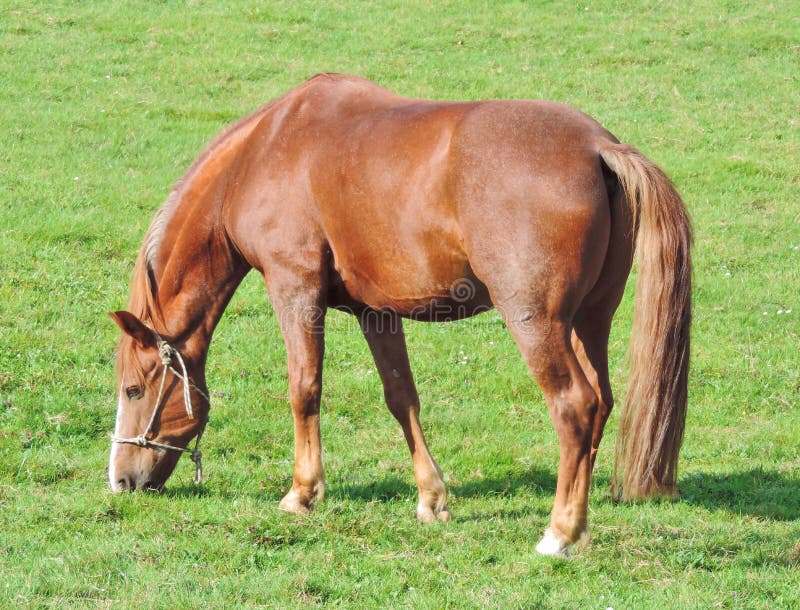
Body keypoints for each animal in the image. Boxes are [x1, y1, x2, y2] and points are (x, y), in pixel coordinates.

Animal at [108, 73, 691, 557]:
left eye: (134, 390)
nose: (119, 481)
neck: (264, 150)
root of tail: (598, 147)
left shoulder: (294, 287)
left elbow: (304, 389)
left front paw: (302, 493)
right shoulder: (375, 312)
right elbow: (401, 397)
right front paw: (431, 498)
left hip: (537, 323)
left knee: (575, 406)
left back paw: (560, 533)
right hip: (591, 320)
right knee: (602, 401)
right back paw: (581, 523)